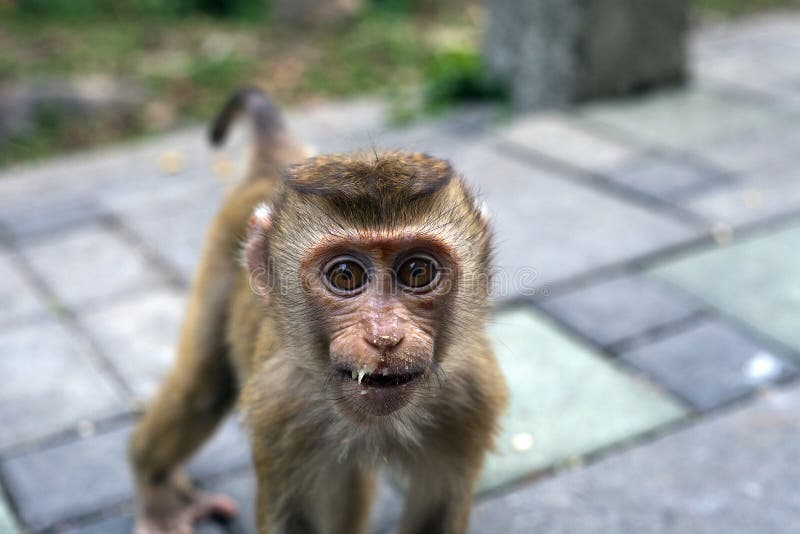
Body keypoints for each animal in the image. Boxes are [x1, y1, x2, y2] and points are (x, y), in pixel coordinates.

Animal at [129, 87, 508, 534]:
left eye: (417, 271)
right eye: (345, 276)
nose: (384, 337)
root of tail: (270, 169)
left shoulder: (470, 399)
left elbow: (438, 509)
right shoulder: (279, 409)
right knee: (203, 386)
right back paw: (155, 488)